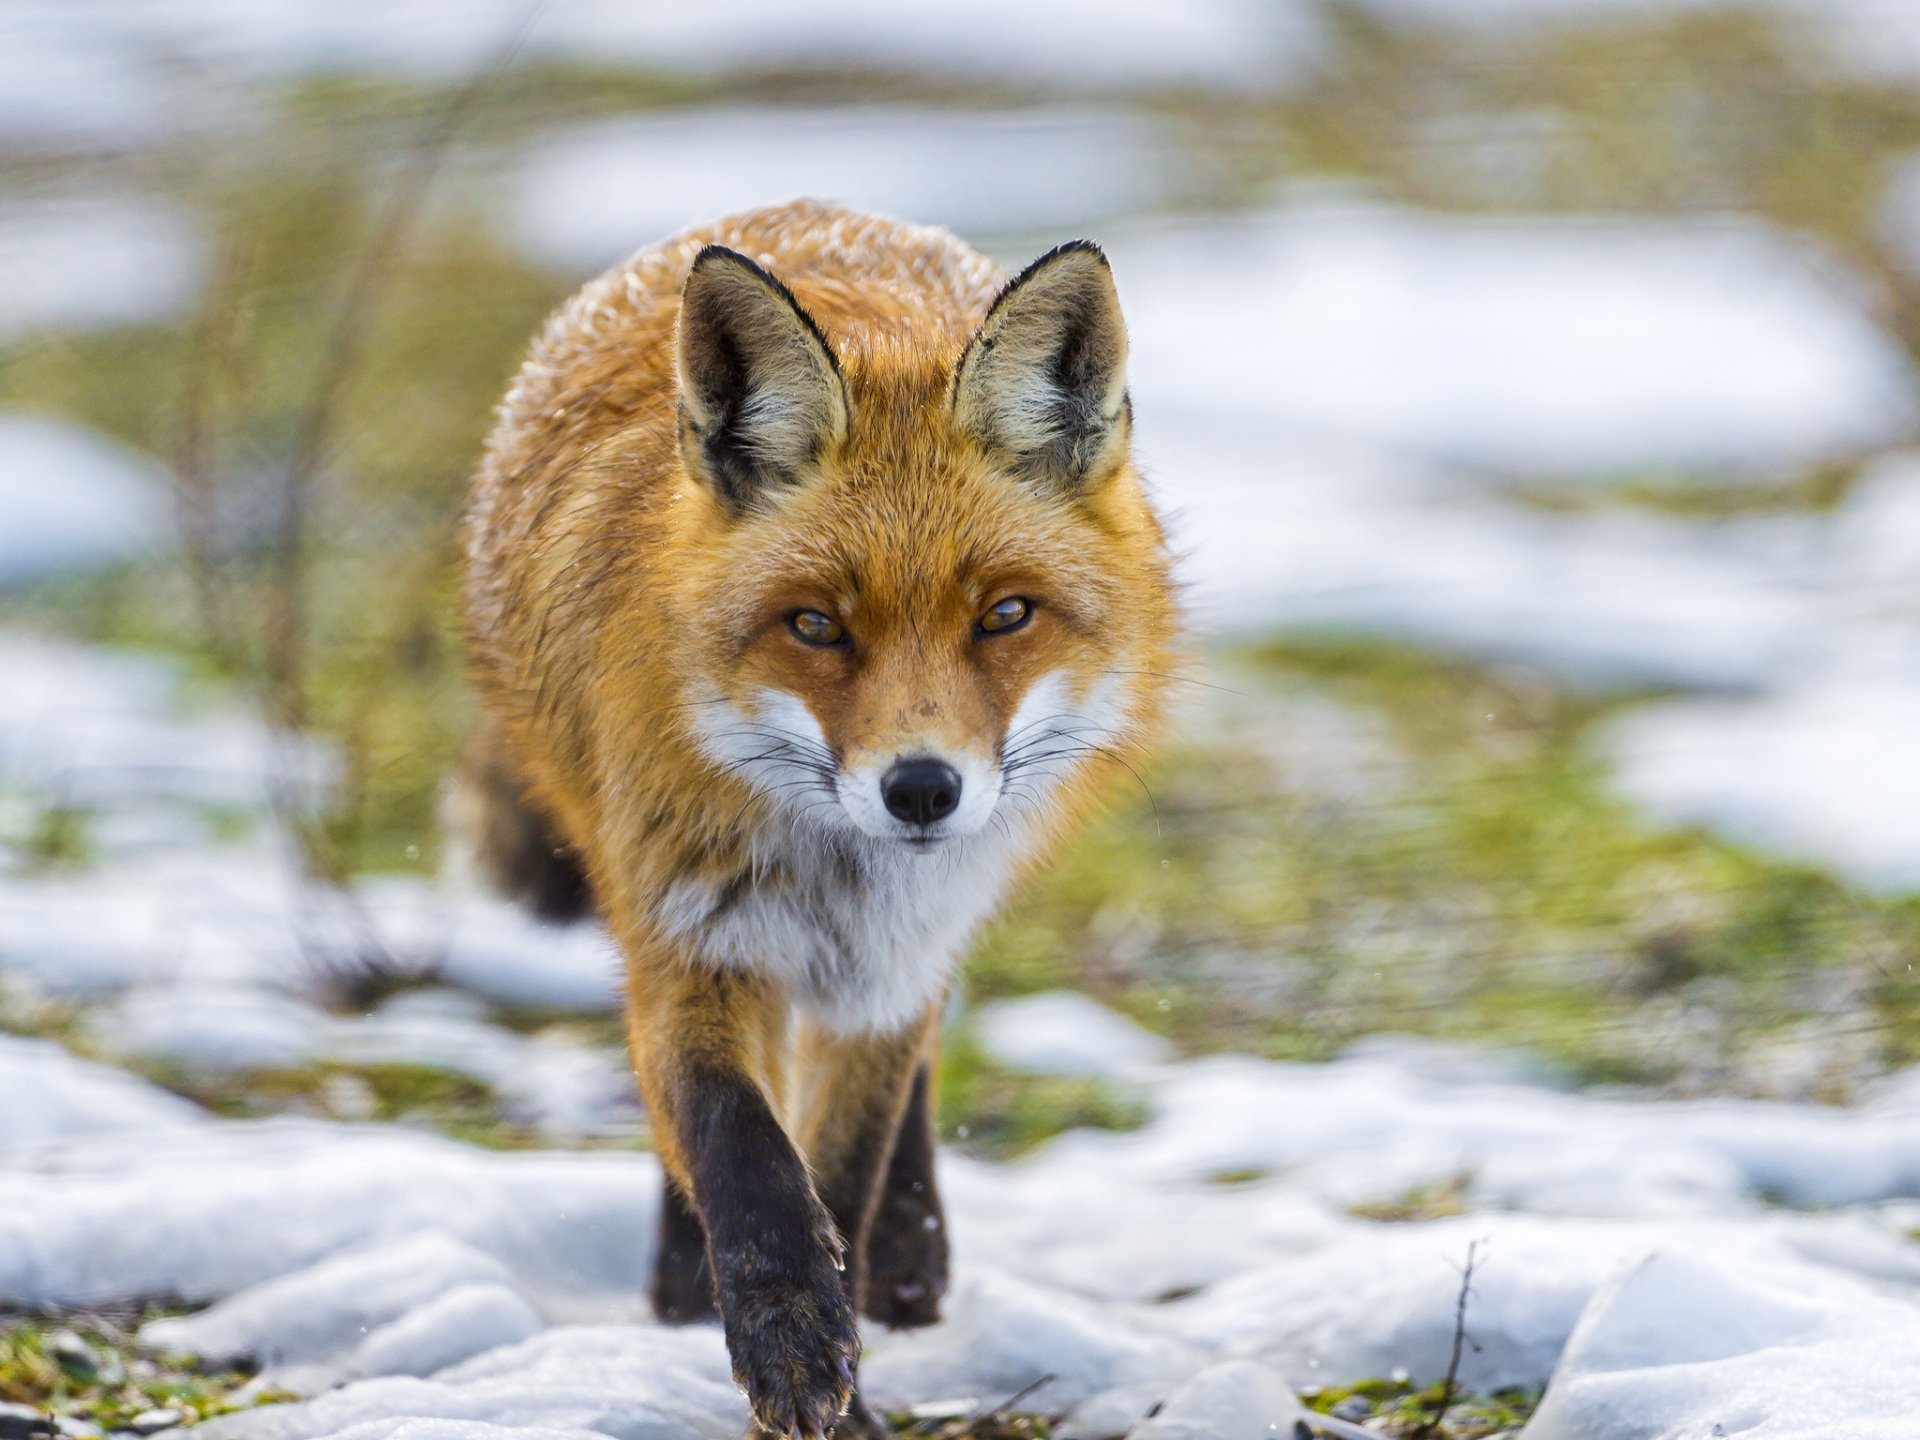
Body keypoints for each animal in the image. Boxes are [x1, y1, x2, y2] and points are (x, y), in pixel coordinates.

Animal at [458, 200, 1178, 1439]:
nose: (922, 789)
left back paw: (907, 1256)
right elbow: (739, 1147)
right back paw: (684, 1282)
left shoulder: (887, 970)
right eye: (815, 626)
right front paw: (785, 1333)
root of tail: (799, 212)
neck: (837, 873)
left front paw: (844, 1365)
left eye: (1004, 615)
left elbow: (844, 1165)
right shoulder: (684, 936)